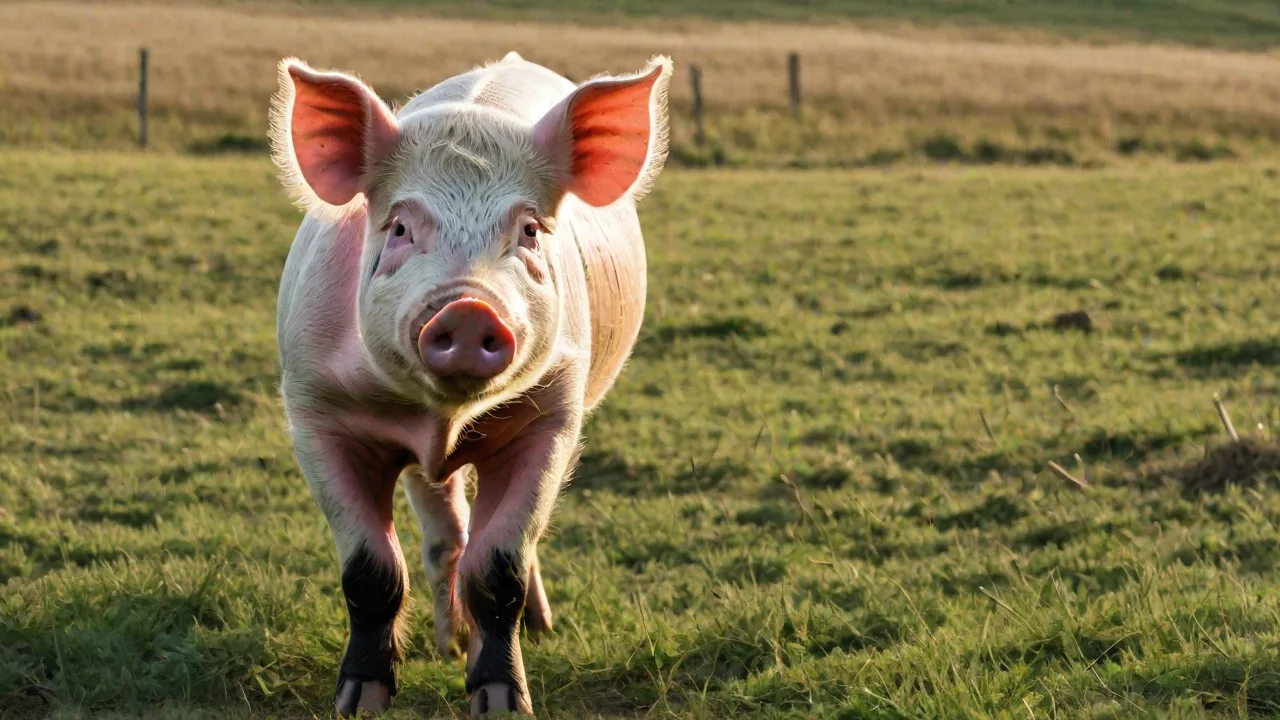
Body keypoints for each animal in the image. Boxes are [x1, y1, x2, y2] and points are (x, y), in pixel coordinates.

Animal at [267, 49, 672, 717]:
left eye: (529, 230)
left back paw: (534, 627)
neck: (443, 417)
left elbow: (500, 566)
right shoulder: (315, 414)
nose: (467, 309)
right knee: (443, 533)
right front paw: (359, 699)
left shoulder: (552, 419)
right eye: (399, 228)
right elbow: (370, 569)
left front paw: (503, 702)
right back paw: (447, 642)